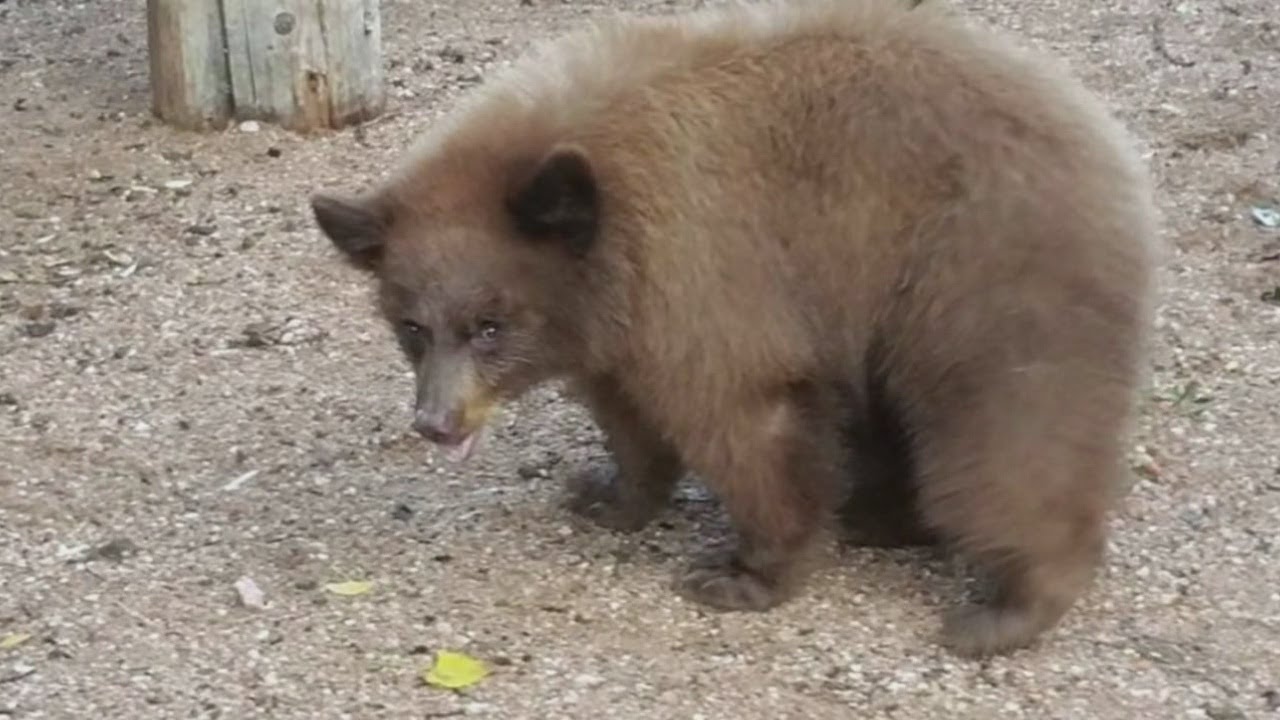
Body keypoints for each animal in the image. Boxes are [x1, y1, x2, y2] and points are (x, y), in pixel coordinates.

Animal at [309, 0, 1160, 656]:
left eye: (489, 324)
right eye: (412, 326)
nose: (435, 422)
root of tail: (1105, 143)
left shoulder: (698, 264)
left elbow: (741, 419)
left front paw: (743, 574)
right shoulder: (624, 322)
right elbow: (630, 416)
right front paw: (607, 494)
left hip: (976, 274)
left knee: (1005, 434)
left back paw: (1008, 608)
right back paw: (877, 516)